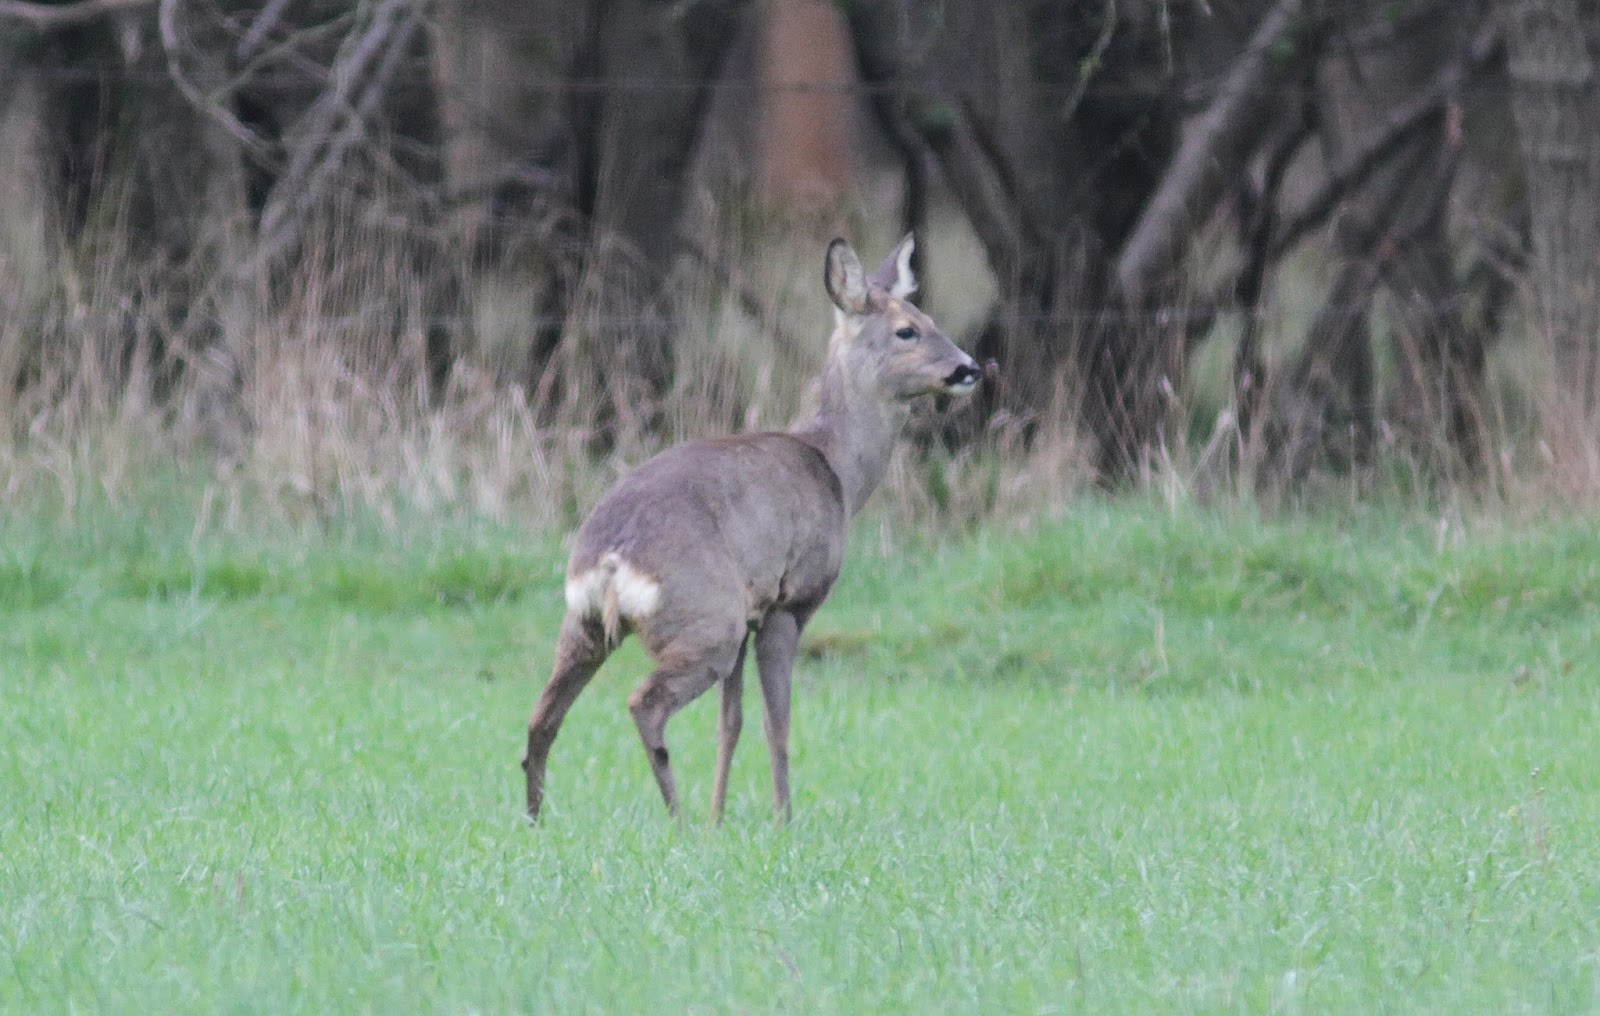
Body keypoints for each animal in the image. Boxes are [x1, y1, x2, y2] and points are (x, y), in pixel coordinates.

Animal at [521, 235, 984, 824]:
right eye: (908, 329)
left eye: (929, 318)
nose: (970, 368)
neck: (836, 468)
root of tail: (611, 558)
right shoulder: (790, 600)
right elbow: (775, 722)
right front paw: (783, 819)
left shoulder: (751, 611)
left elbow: (731, 723)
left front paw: (720, 818)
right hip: (706, 619)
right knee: (643, 703)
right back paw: (677, 818)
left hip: (585, 624)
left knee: (542, 718)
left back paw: (536, 822)